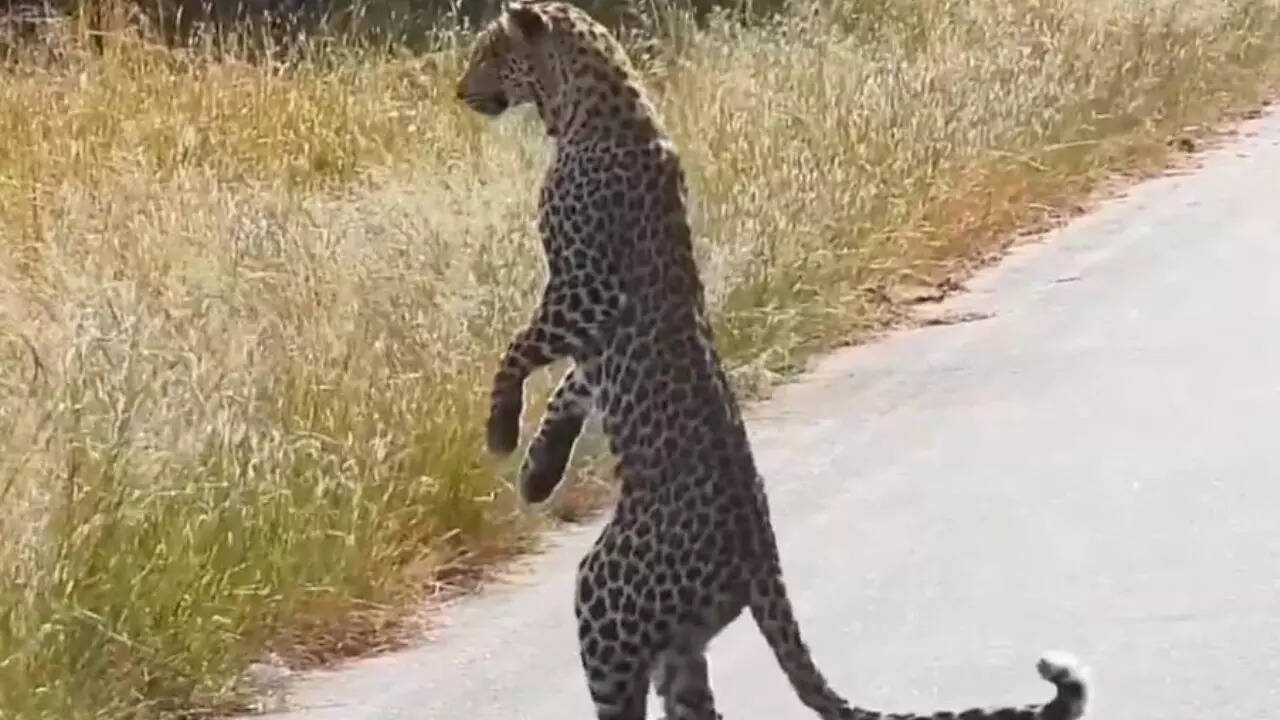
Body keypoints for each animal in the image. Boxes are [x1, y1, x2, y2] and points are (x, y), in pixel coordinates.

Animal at [455, 3, 1091, 718]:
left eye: (488, 52)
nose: (460, 89)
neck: (586, 107)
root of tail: (760, 560)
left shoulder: (585, 292)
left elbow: (520, 351)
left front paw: (499, 431)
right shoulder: (591, 329)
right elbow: (570, 387)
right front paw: (537, 472)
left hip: (606, 593)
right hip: (678, 640)